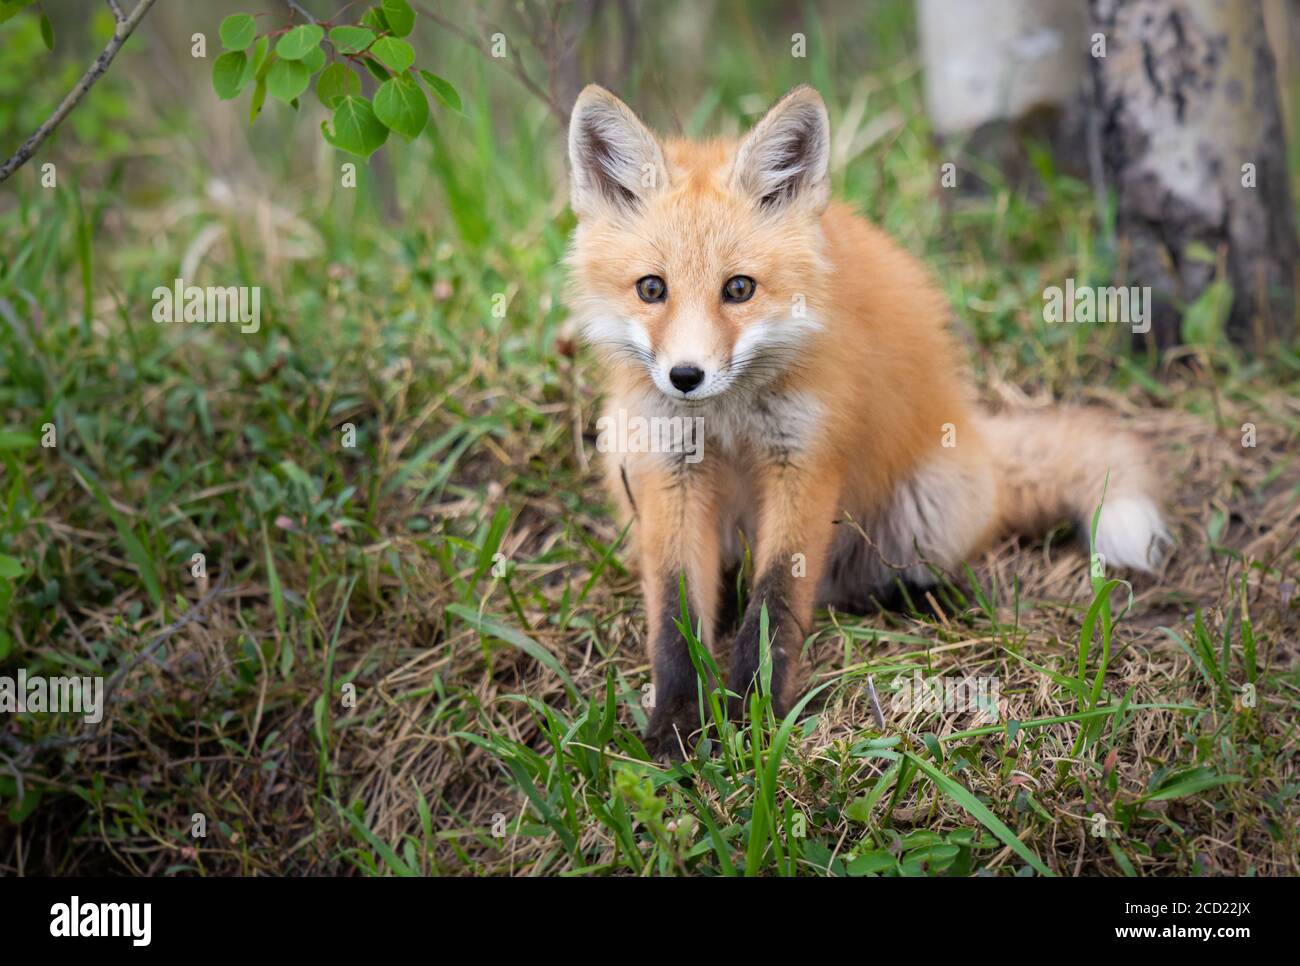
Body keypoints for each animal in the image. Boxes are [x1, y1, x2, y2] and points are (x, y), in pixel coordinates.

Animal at [564, 84, 1172, 759]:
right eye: (651, 288)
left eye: (739, 288)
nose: (686, 376)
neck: (729, 415)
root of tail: (976, 435)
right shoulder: (671, 468)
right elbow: (674, 615)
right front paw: (675, 724)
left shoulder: (806, 460)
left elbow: (776, 601)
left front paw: (754, 718)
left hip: (926, 506)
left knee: (872, 580)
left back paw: (933, 597)